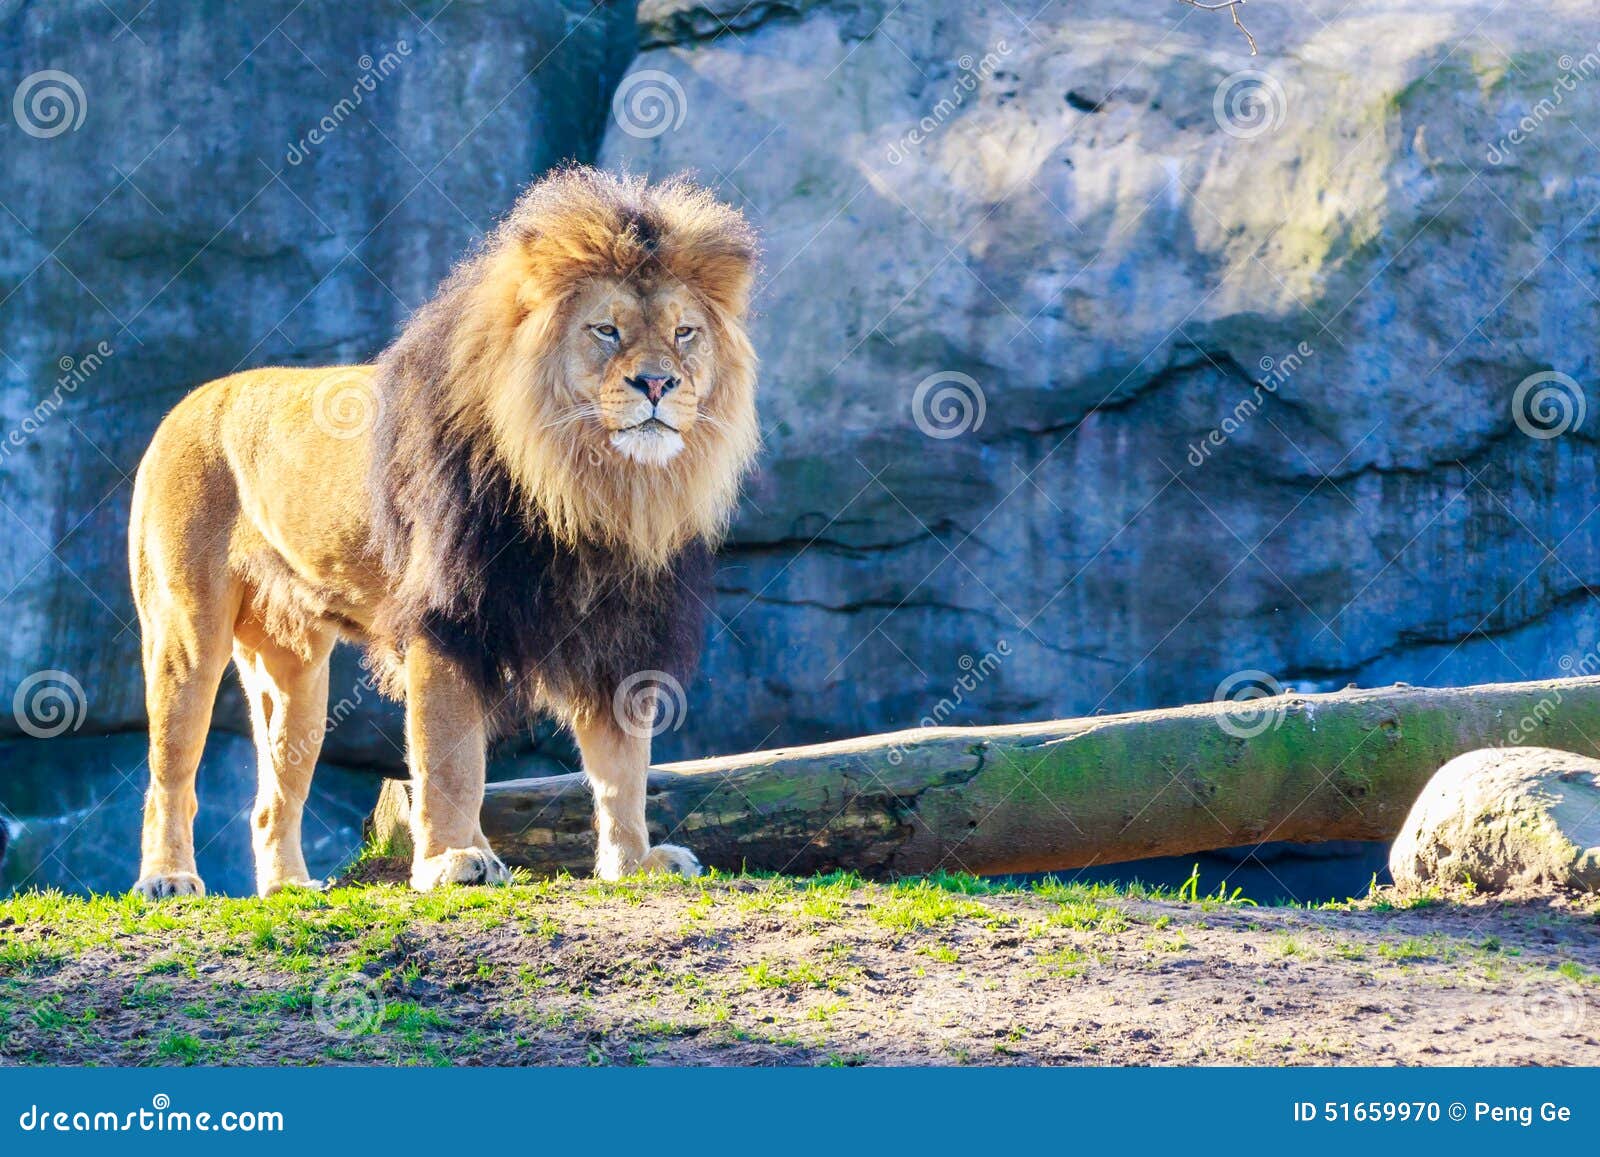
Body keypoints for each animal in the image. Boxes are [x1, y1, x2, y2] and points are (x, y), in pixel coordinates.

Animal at [128, 167, 759, 898]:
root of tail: (189, 402)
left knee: (271, 796)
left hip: (294, 668)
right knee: (169, 773)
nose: (656, 382)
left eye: (685, 332)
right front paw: (454, 859)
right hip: (185, 630)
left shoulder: (617, 633)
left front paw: (635, 862)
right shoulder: (449, 617)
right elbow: (451, 755)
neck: (589, 484)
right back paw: (168, 878)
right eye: (605, 329)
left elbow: (622, 765)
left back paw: (287, 887)